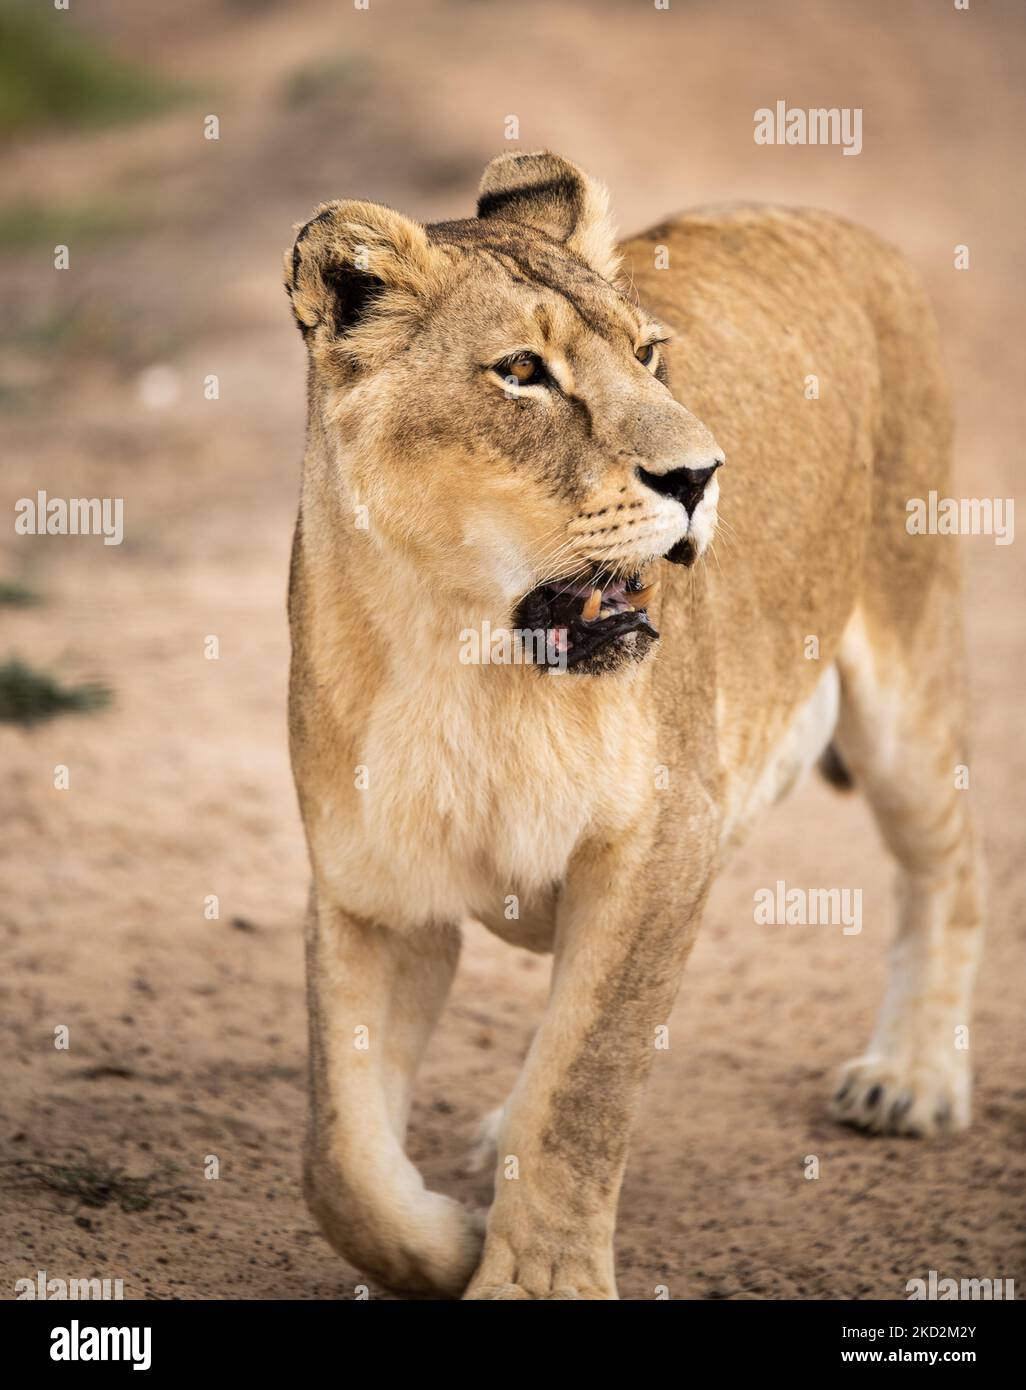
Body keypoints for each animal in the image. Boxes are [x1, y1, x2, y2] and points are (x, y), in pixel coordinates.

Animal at [283, 151, 984, 1300]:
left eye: (651, 354)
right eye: (522, 371)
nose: (701, 475)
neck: (468, 665)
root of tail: (835, 221)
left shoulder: (662, 843)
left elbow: (585, 1087)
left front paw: (533, 1279)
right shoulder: (371, 888)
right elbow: (341, 1160)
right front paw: (449, 1242)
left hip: (908, 670)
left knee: (953, 862)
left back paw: (912, 1077)